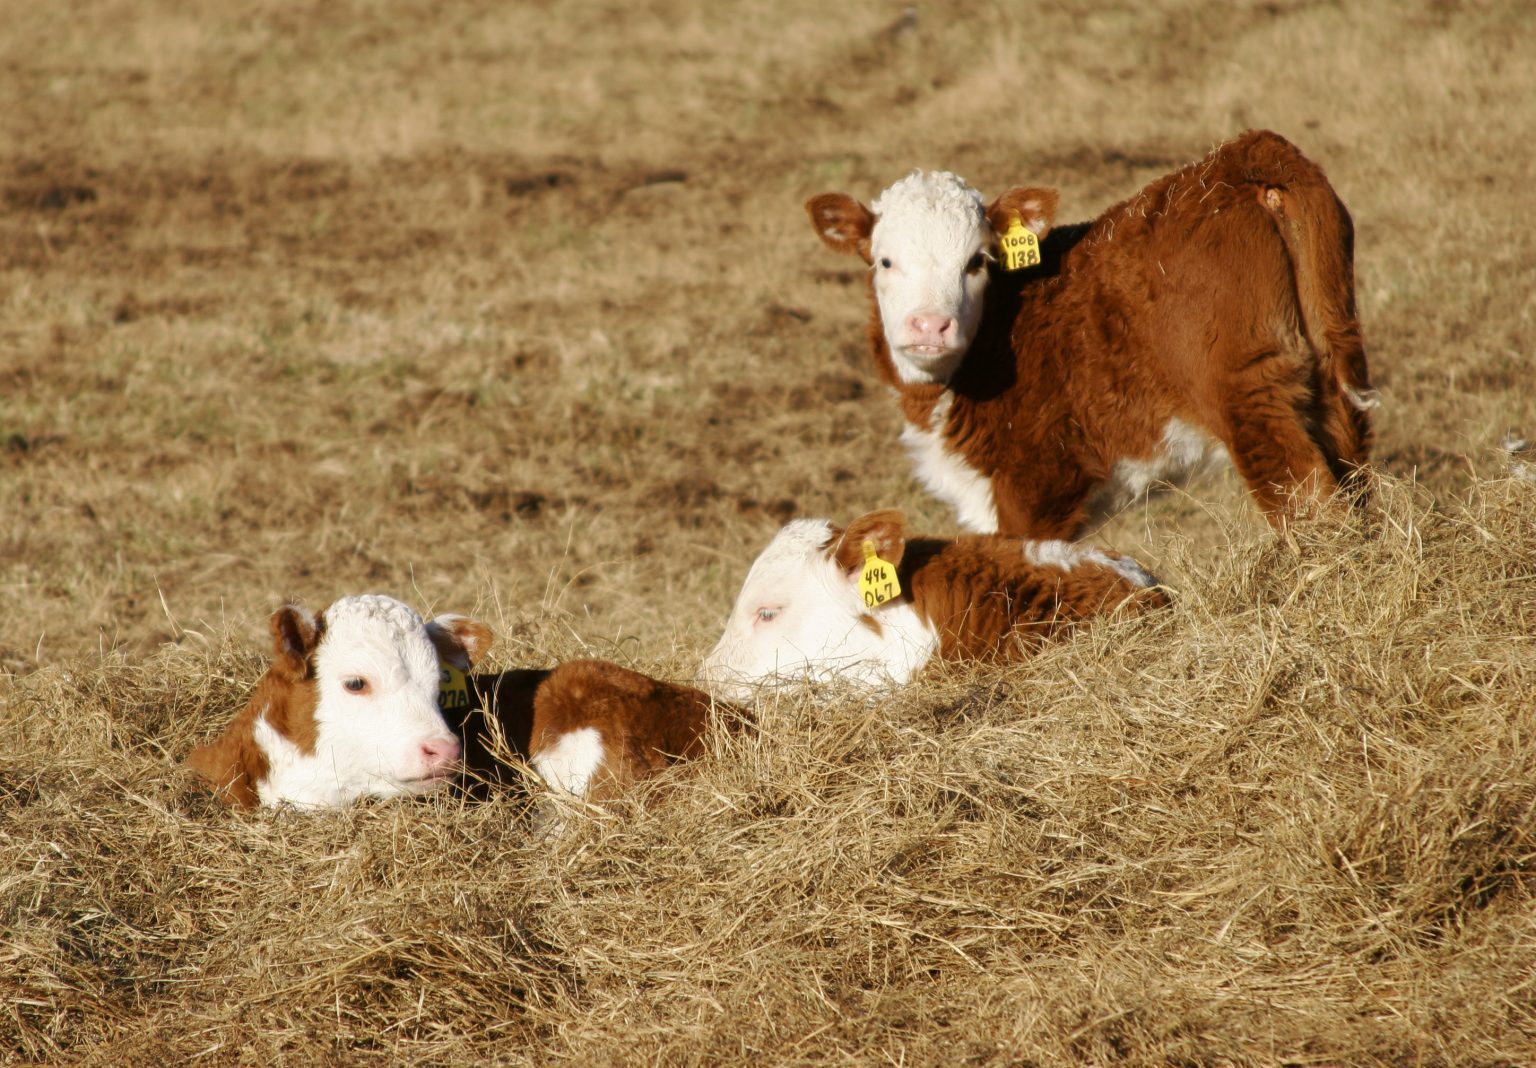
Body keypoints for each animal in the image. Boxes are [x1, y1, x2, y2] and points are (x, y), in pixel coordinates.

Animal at [805, 129, 1377, 539]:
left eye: (977, 261)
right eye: (884, 261)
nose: (930, 325)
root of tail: (1240, 158)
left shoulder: (1033, 484)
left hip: (1246, 390)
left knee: (1308, 495)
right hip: (1332, 353)